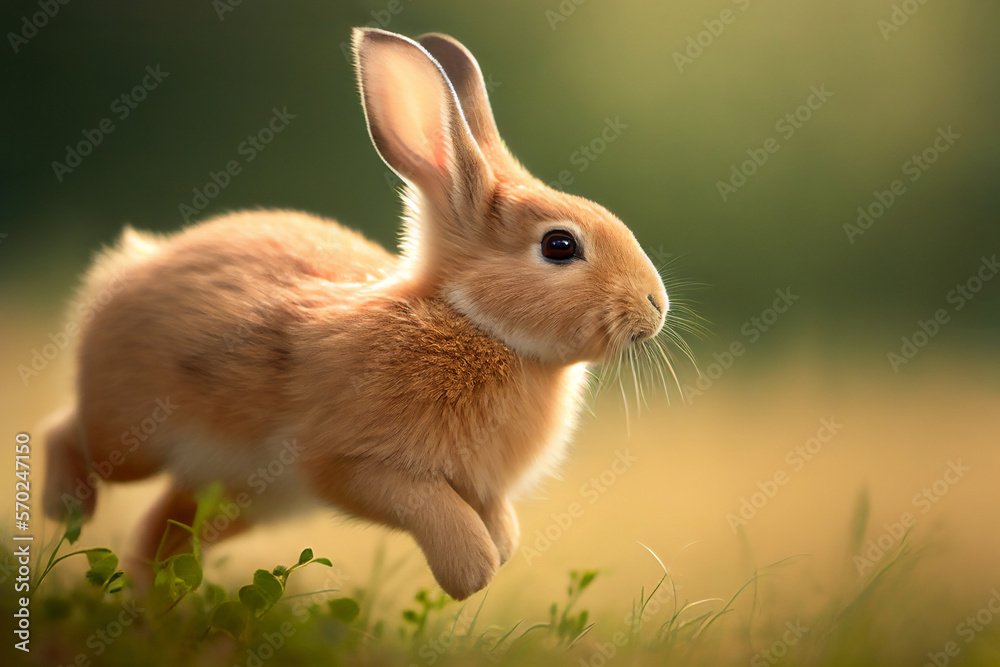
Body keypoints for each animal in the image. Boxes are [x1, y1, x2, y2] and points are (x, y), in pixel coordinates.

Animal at [41, 28, 669, 600]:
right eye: (560, 246)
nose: (655, 306)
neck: (473, 323)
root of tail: (132, 267)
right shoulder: (351, 464)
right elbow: (427, 505)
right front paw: (473, 571)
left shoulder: (479, 486)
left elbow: (493, 515)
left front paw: (503, 545)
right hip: (134, 438)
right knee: (69, 432)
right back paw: (65, 508)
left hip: (239, 496)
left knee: (162, 537)